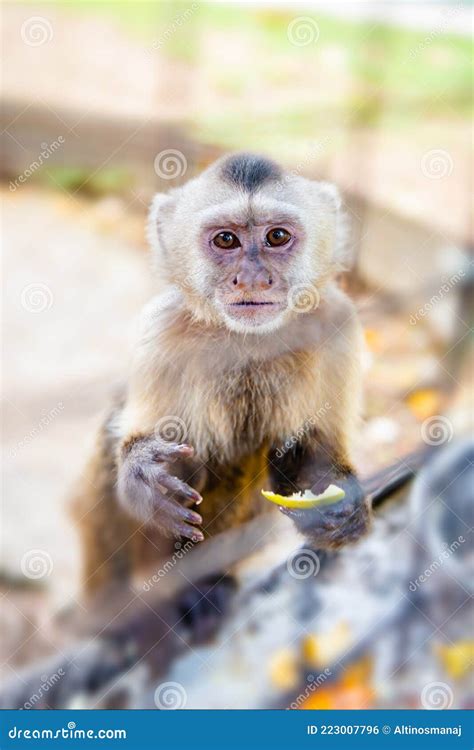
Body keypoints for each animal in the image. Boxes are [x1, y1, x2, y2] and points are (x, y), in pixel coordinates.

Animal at [72, 152, 372, 597]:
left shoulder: (337, 322)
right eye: (226, 240)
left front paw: (343, 510)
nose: (252, 278)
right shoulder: (163, 329)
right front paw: (145, 471)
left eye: (277, 236)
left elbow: (310, 449)